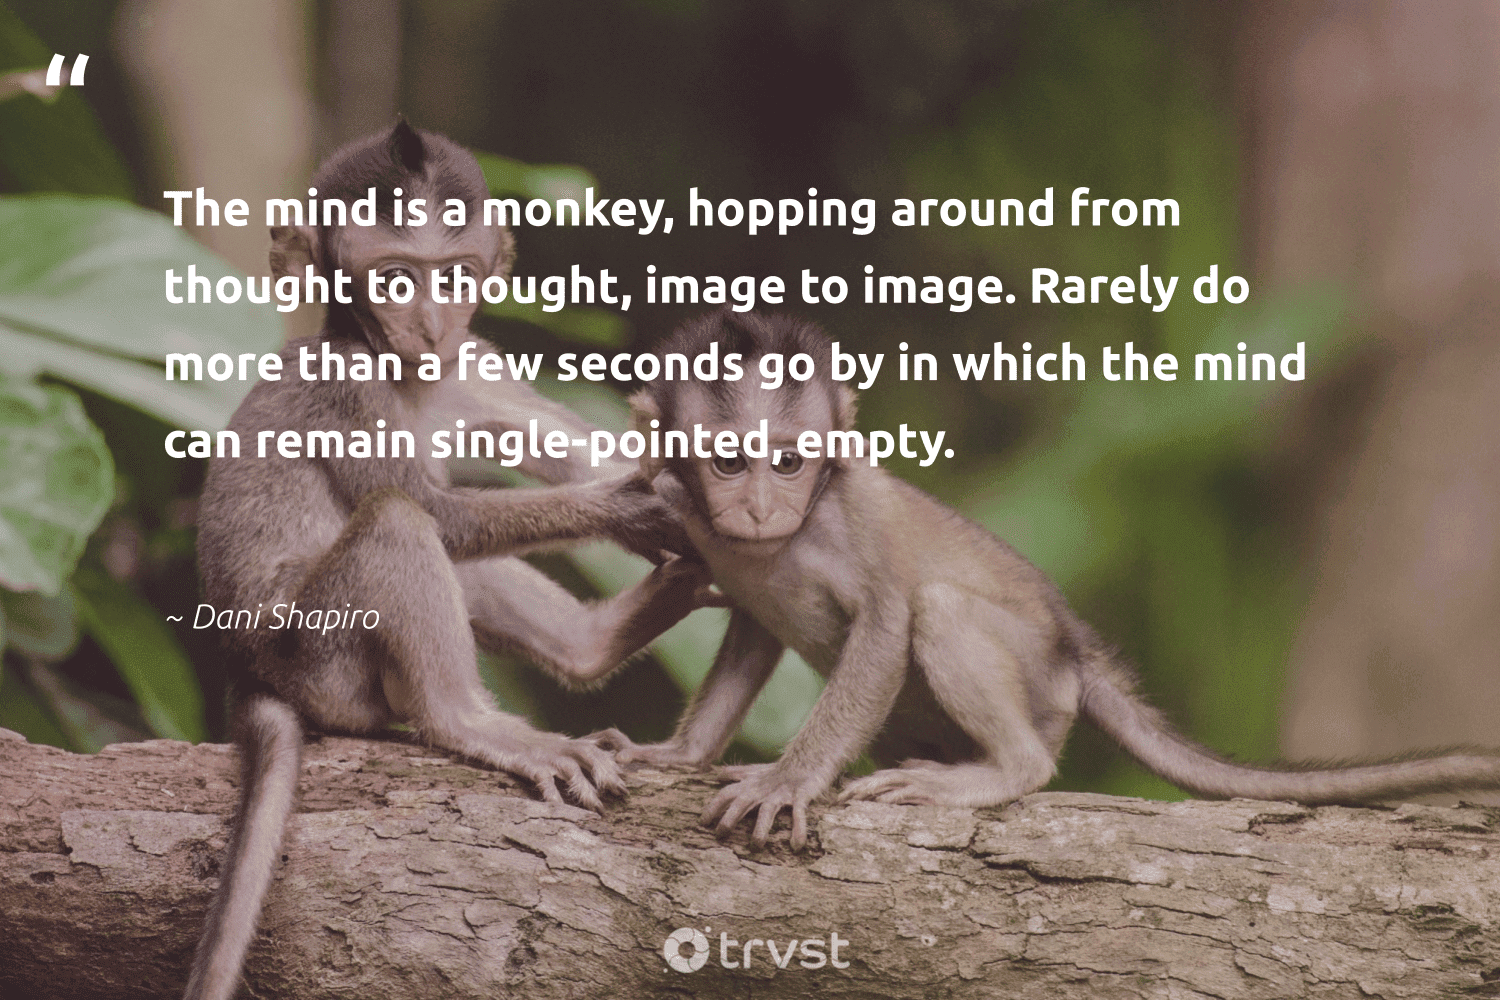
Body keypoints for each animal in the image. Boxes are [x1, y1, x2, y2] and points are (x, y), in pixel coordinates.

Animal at [185, 121, 716, 1000]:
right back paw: (467, 720)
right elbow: (437, 513)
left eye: (455, 273)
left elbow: (573, 456)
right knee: (400, 523)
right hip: (321, 659)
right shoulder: (346, 390)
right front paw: (633, 507)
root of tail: (249, 671)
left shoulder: (476, 364)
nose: (431, 325)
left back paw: (593, 642)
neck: (406, 376)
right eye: (395, 277)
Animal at [602, 310, 1500, 851]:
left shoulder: (847, 515)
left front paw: (789, 778)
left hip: (1041, 684)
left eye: (789, 463)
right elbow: (752, 629)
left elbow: (888, 622)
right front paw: (678, 753)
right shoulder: (697, 525)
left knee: (941, 611)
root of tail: (1077, 652)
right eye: (730, 462)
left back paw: (1008, 770)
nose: (760, 507)